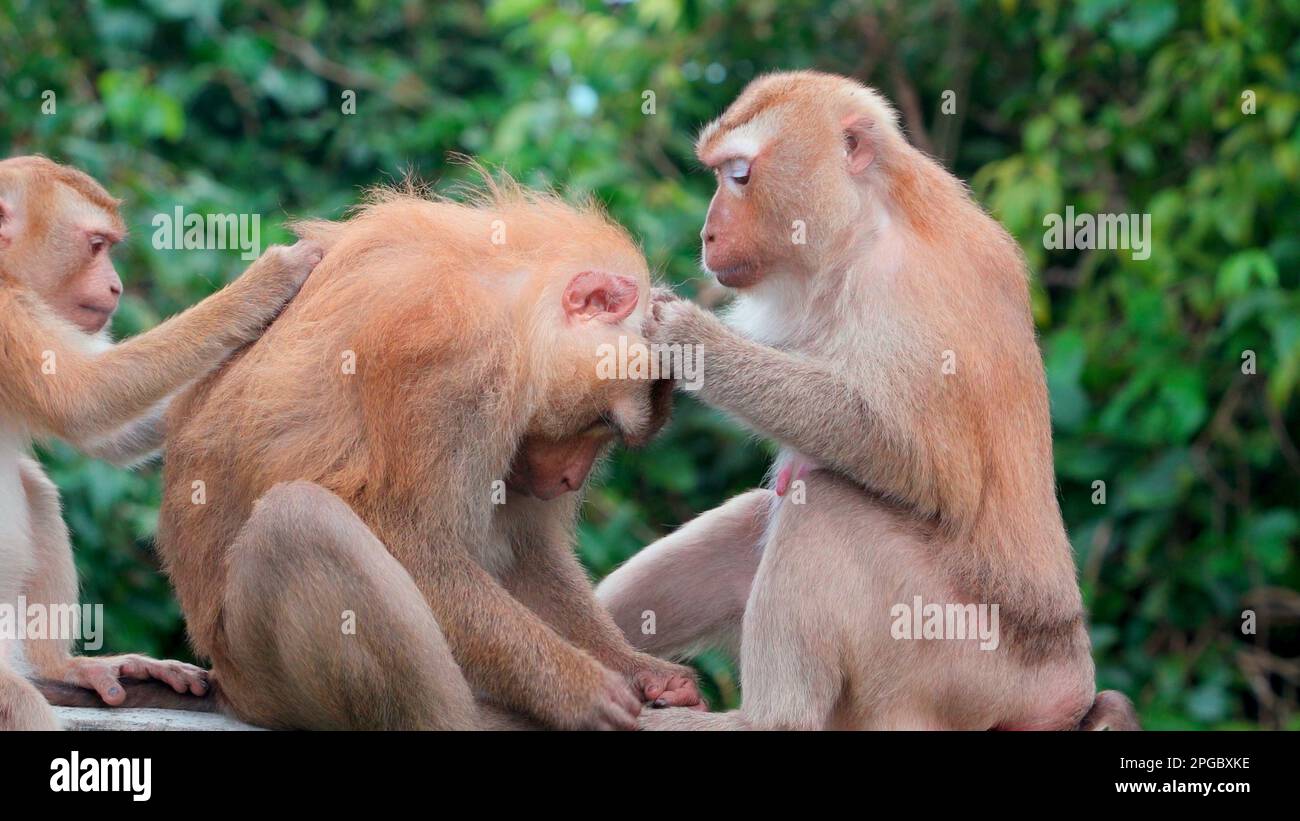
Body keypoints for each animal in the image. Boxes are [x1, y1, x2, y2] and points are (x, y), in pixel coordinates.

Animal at [0, 155, 321, 730]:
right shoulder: (4, 313)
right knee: (19, 703)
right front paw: (269, 279)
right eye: (97, 245)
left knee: (34, 485)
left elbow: (110, 436)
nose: (116, 288)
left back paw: (66, 667)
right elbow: (84, 399)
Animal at [154, 176, 702, 730]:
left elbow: (522, 549)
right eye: (602, 422)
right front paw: (581, 693)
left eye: (608, 435)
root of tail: (229, 685)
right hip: (265, 680)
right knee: (300, 523)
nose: (570, 479)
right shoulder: (455, 362)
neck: (511, 301)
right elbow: (411, 539)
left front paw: (644, 671)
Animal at [595, 72, 1140, 731]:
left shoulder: (903, 286)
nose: (707, 234)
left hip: (962, 661)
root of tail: (1067, 686)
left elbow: (912, 458)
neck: (862, 226)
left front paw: (688, 341)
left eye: (740, 175)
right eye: (719, 174)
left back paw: (765, 721)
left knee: (829, 502)